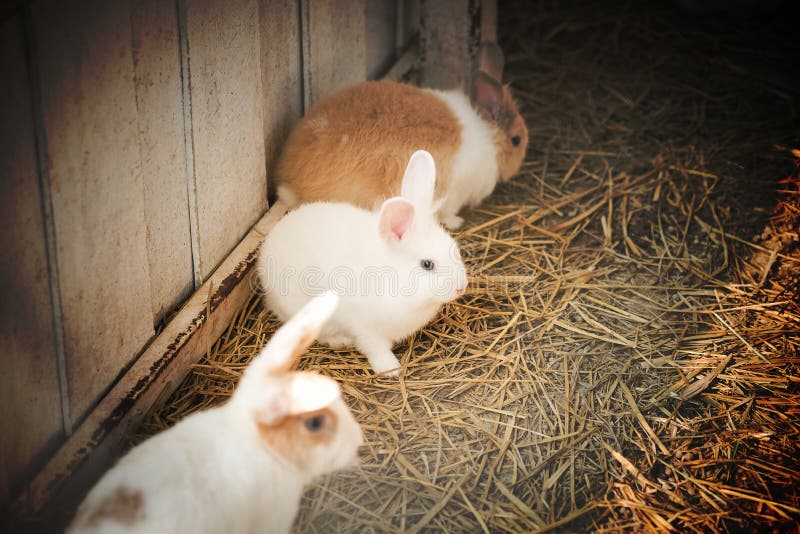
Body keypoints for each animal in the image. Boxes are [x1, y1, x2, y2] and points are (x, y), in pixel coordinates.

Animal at [259, 150, 468, 377]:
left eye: (455, 249)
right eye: (427, 264)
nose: (461, 287)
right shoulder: (366, 329)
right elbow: (376, 349)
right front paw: (391, 369)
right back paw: (339, 340)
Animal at [273, 41, 528, 230]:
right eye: (516, 140)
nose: (518, 167)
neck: (487, 134)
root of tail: (292, 187)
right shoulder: (454, 193)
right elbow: (448, 213)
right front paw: (456, 222)